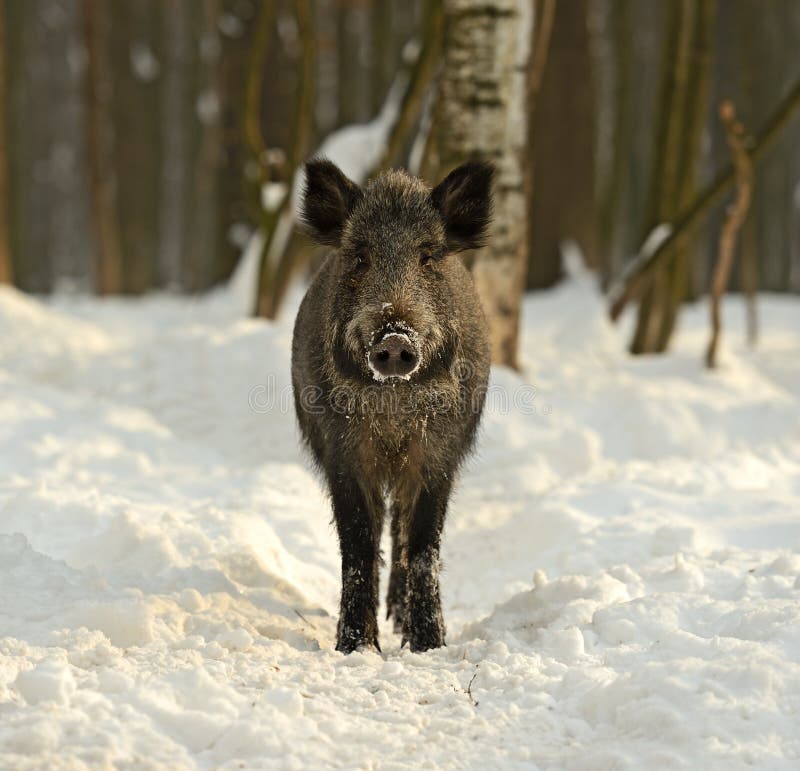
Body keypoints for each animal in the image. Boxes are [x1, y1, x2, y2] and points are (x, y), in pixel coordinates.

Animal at [291, 158, 492, 653]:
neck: (394, 412)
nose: (395, 339)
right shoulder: (342, 453)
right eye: (360, 257)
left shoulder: (438, 454)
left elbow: (421, 544)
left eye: (428, 257)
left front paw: (428, 646)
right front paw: (355, 649)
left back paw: (401, 624)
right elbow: (359, 543)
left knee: (399, 526)